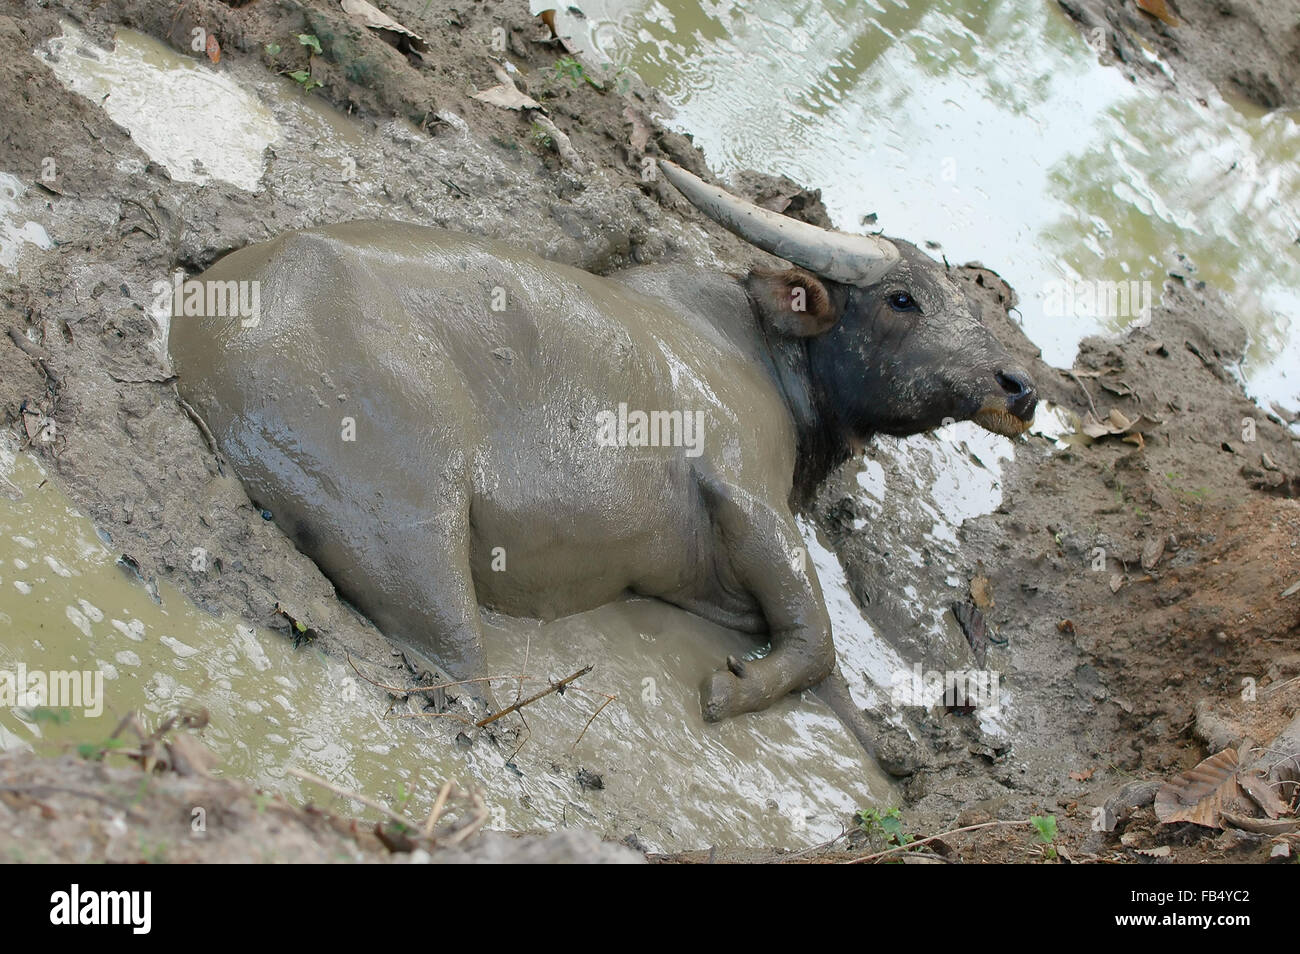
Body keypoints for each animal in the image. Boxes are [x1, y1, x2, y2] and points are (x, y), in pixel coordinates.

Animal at [169, 161, 1036, 761]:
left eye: (972, 306)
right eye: (903, 299)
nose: (1020, 386)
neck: (760, 353)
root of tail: (224, 326)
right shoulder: (745, 494)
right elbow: (818, 638)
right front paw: (738, 689)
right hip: (410, 517)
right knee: (457, 667)